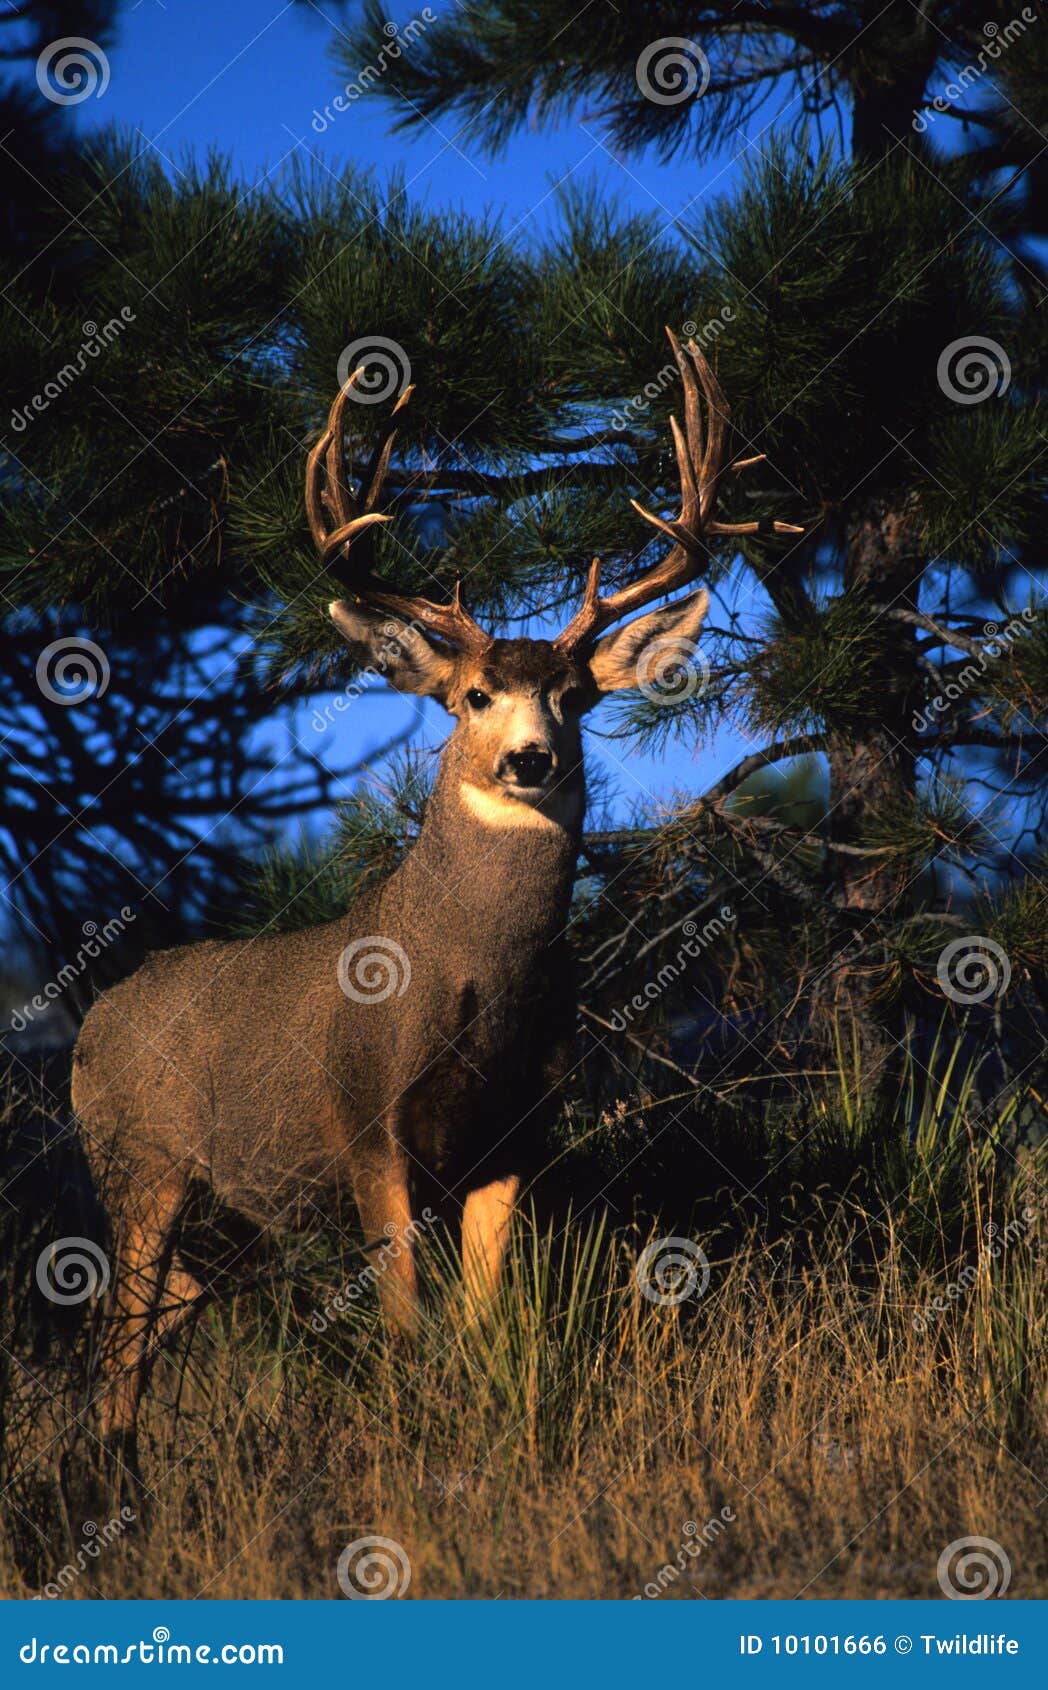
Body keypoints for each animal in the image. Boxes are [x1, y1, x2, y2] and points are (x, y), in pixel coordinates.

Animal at [70, 329, 801, 1476]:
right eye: (472, 695)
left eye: (576, 696)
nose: (530, 757)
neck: (472, 985)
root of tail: (89, 1021)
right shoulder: (368, 1123)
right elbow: (406, 1326)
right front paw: (412, 1441)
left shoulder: (515, 1139)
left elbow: (488, 1320)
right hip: (136, 1163)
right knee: (116, 1339)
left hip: (224, 1215)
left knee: (152, 1324)